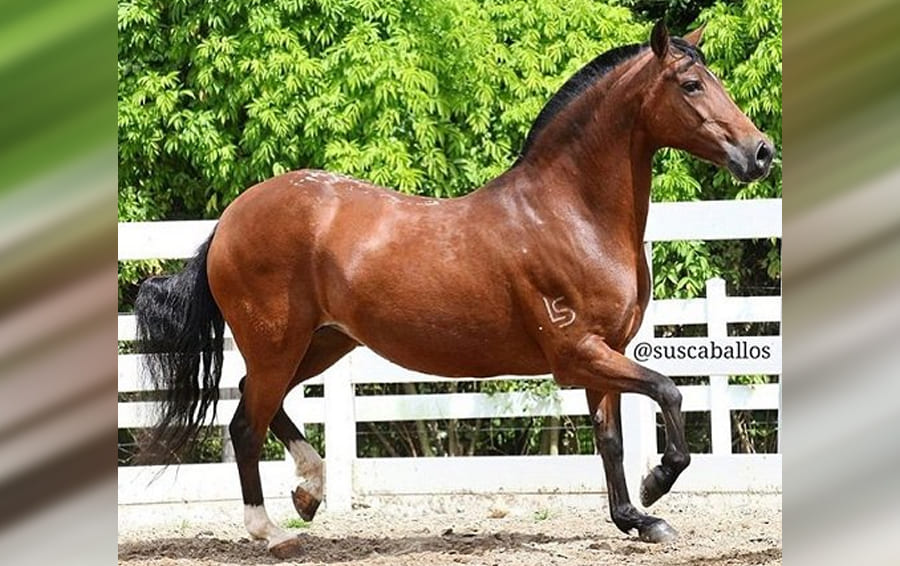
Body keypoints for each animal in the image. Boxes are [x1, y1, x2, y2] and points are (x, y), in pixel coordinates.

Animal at [134, 20, 773, 557]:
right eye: (691, 84)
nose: (760, 152)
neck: (570, 213)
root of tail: (229, 220)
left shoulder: (605, 355)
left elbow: (610, 441)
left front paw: (636, 519)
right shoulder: (578, 356)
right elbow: (669, 392)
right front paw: (657, 484)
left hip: (321, 343)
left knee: (258, 402)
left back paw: (309, 492)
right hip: (277, 344)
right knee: (246, 423)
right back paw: (271, 532)